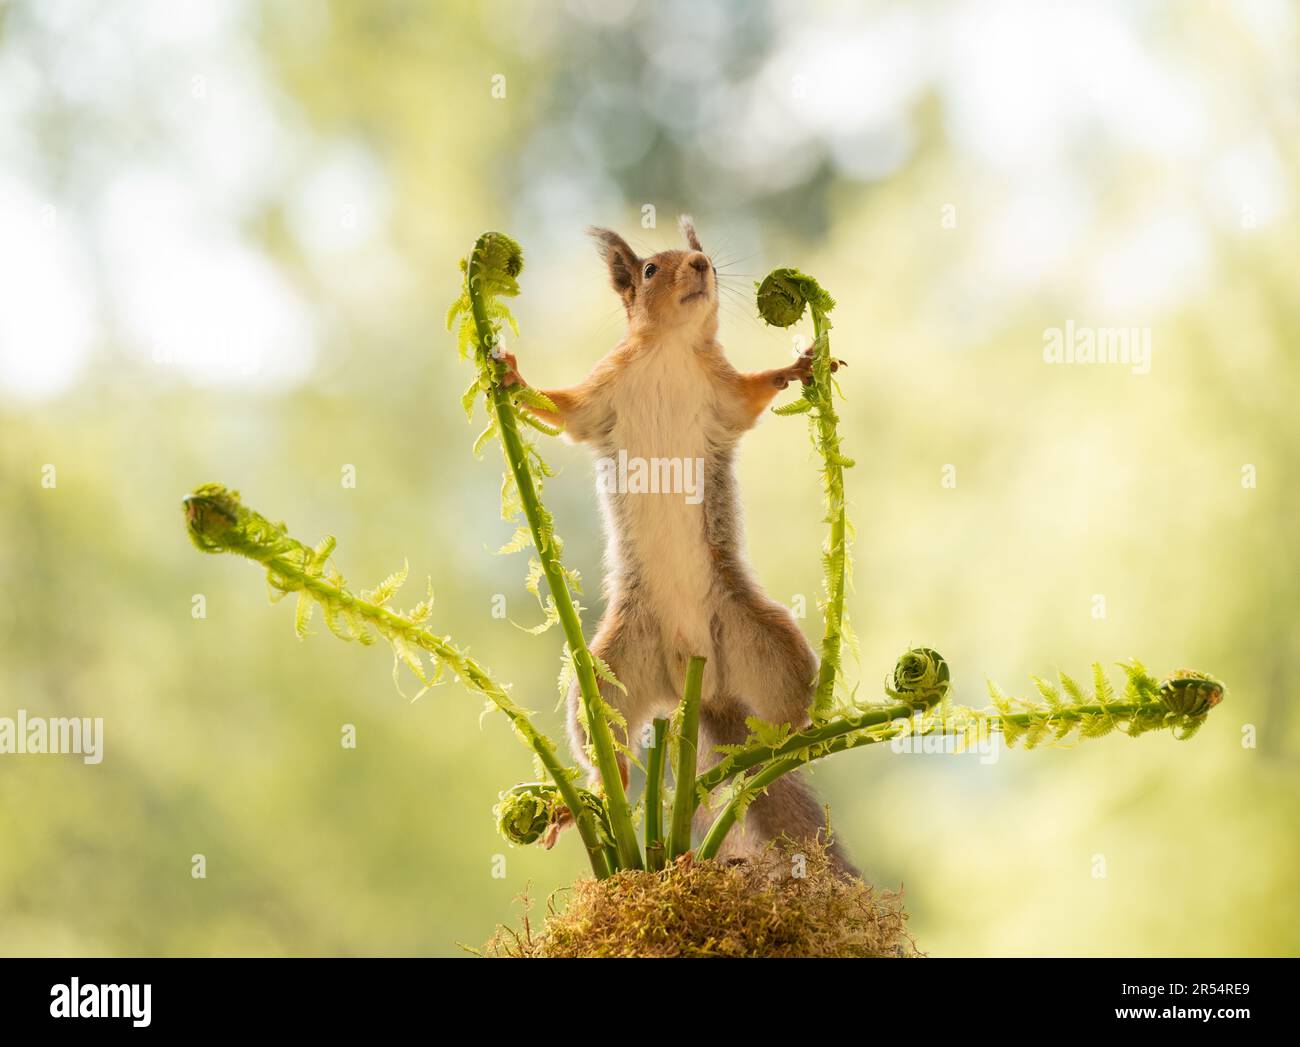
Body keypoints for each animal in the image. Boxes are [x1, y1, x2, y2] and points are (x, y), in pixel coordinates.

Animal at [503, 216, 856, 875]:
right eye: (648, 269)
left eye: (703, 252)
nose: (702, 267)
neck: (668, 350)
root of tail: (695, 682)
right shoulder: (600, 395)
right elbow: (560, 409)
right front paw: (511, 378)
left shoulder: (725, 393)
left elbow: (753, 394)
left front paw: (799, 367)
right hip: (607, 678)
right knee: (608, 746)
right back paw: (599, 788)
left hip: (770, 645)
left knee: (781, 719)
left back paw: (792, 740)